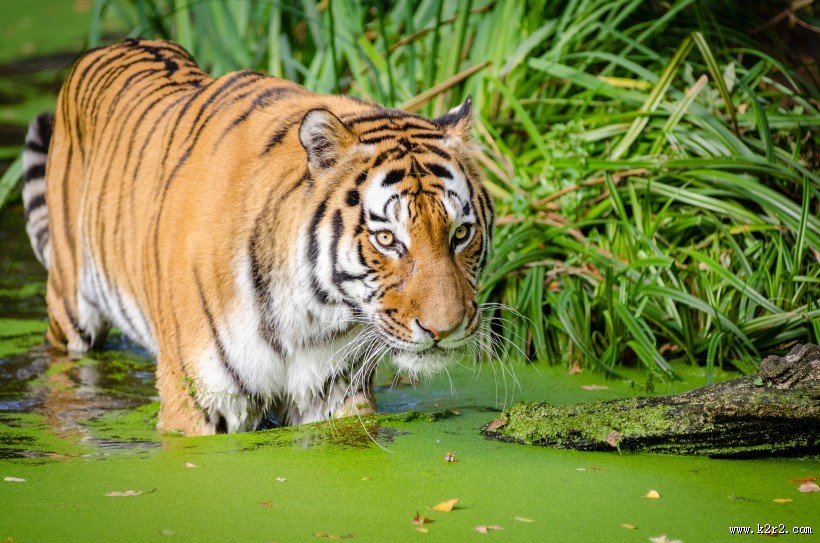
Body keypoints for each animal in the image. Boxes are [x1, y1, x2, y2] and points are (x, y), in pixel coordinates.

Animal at [22, 38, 494, 436]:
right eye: (386, 240)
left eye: (461, 233)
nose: (443, 330)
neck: (313, 316)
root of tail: (111, 45)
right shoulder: (197, 400)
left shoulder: (333, 393)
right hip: (70, 311)